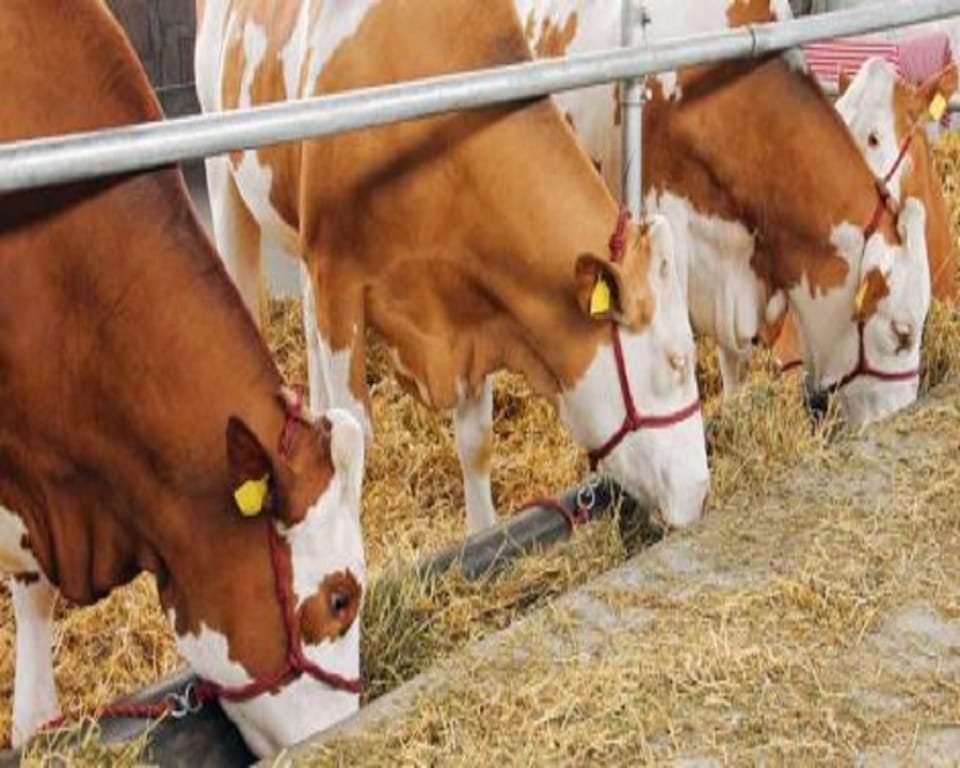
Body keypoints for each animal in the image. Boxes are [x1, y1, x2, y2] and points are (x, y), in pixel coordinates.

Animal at [195, 0, 711, 536]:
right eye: (677, 361)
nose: (700, 493)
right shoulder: (338, 275)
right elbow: (358, 436)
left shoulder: (472, 302)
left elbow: (476, 441)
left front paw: (483, 536)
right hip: (225, 179)